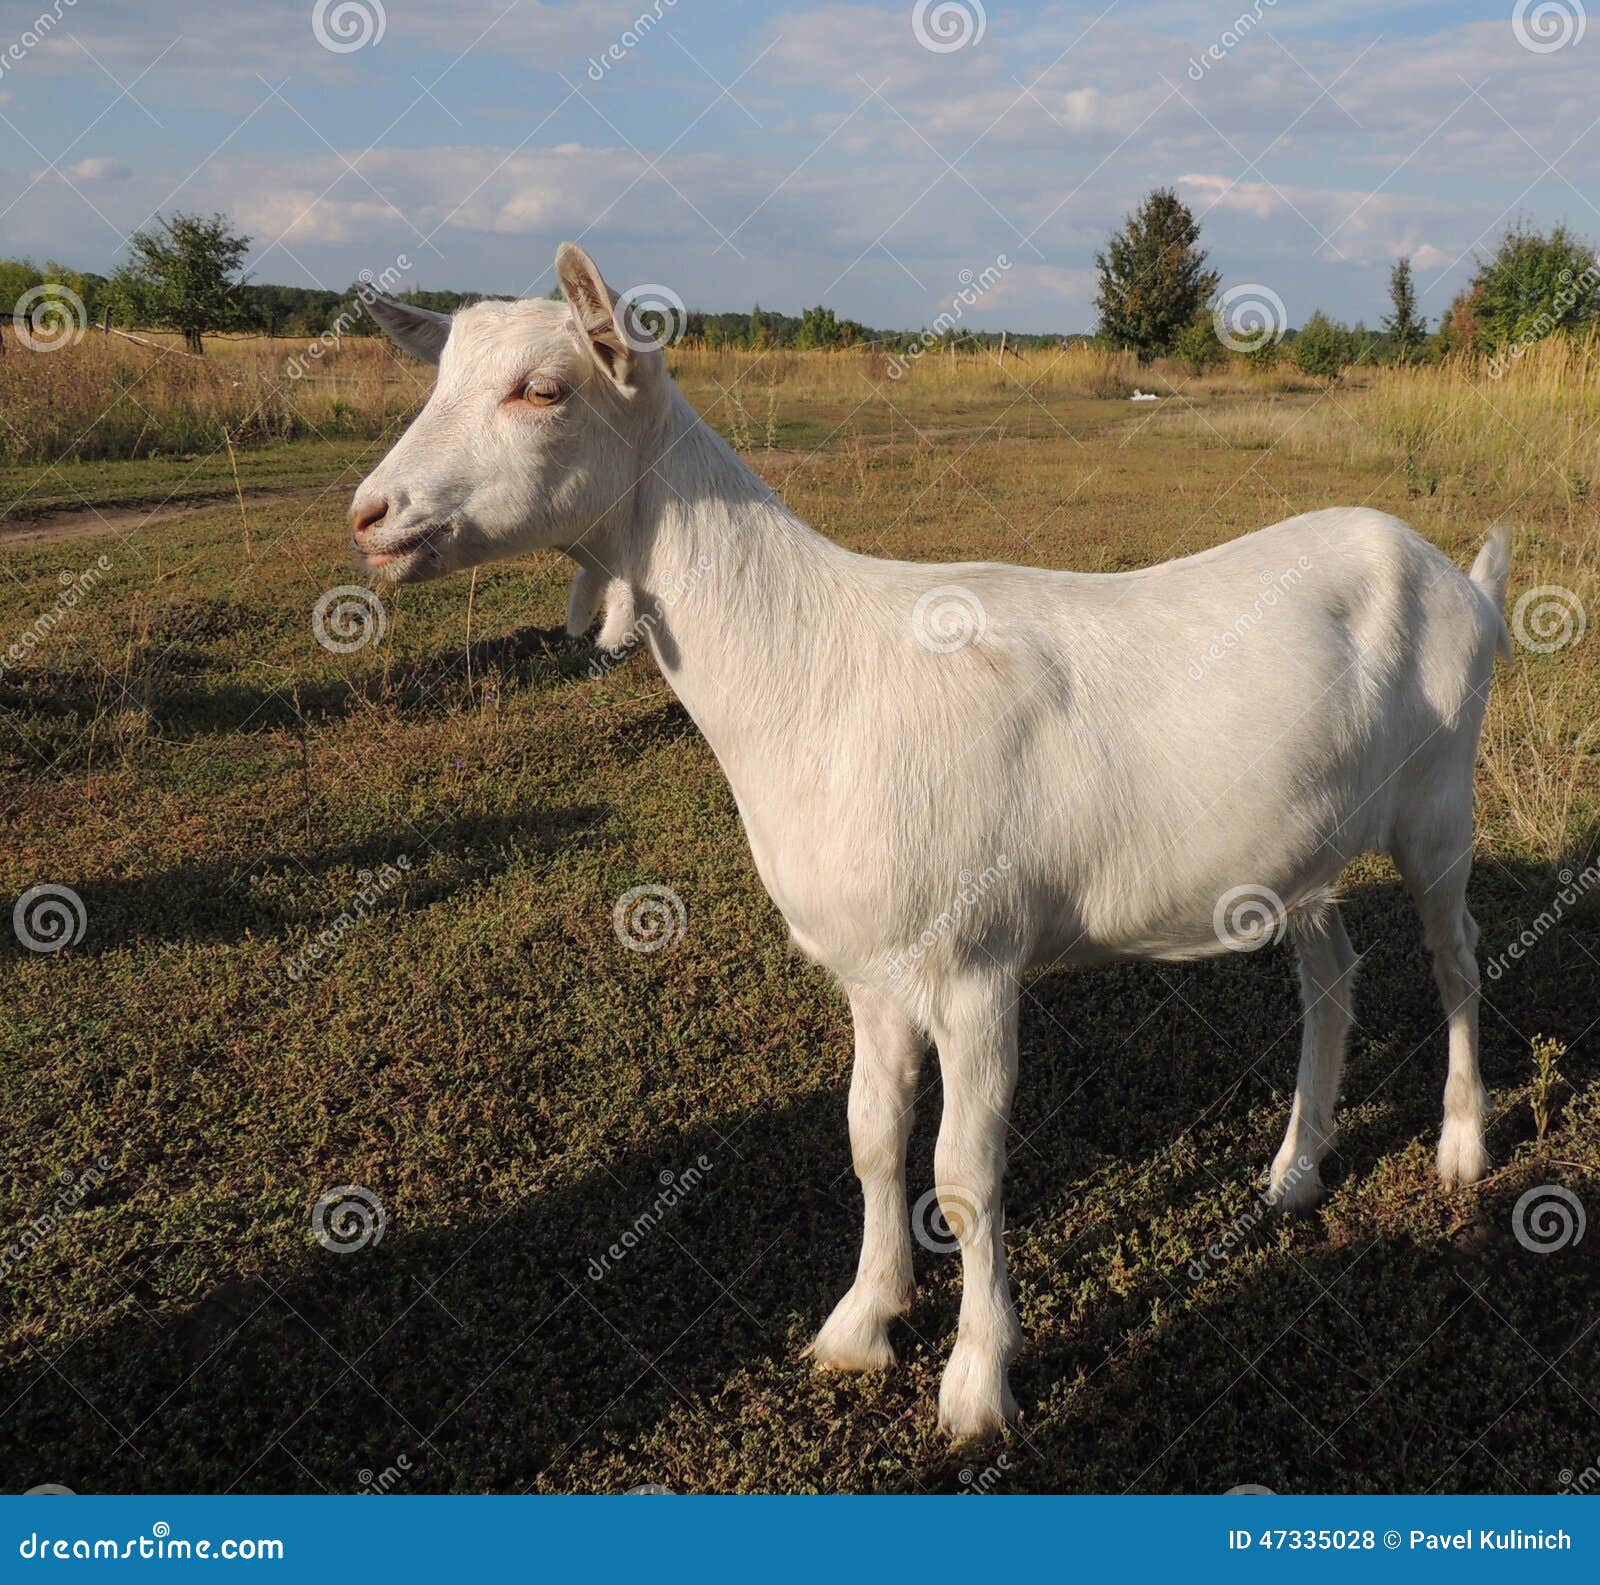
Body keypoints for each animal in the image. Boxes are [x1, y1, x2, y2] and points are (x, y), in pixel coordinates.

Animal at [351, 244, 1512, 1442]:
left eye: (543, 390)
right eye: (437, 376)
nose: (370, 514)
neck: (811, 672)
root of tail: (1461, 578)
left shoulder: (974, 964)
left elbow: (965, 1168)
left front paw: (977, 1379)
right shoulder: (873, 969)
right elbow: (870, 1133)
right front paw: (862, 1321)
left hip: (1440, 803)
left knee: (1455, 960)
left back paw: (1462, 1144)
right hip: (1305, 848)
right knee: (1330, 974)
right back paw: (1293, 1168)